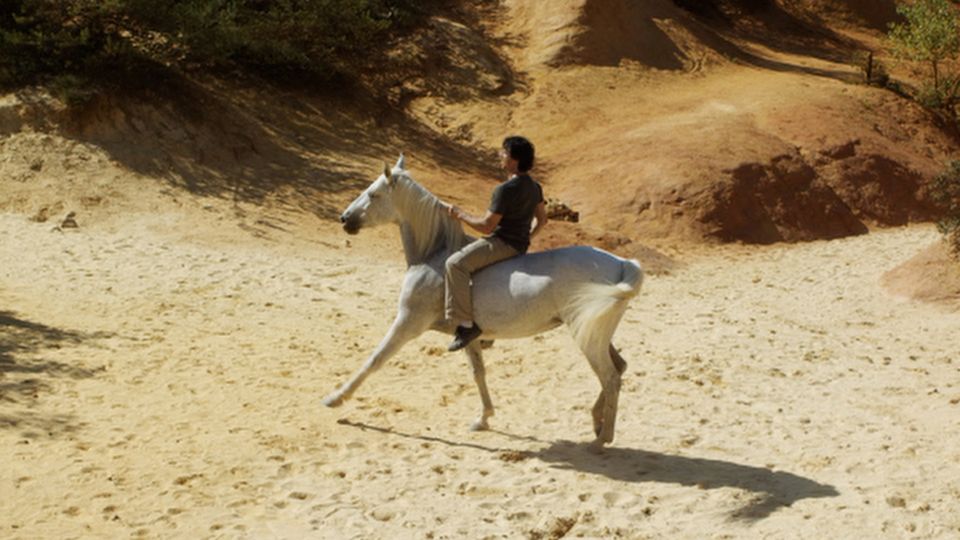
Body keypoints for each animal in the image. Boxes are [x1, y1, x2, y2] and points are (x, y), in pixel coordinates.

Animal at [322, 155, 643, 449]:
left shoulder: (407, 323)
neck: (435, 255)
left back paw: (602, 439)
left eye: (373, 194)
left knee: (610, 377)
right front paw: (484, 418)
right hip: (596, 334)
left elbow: (375, 359)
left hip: (587, 337)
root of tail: (622, 262)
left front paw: (335, 398)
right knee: (620, 368)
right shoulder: (468, 336)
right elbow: (478, 374)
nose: (344, 219)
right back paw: (596, 421)